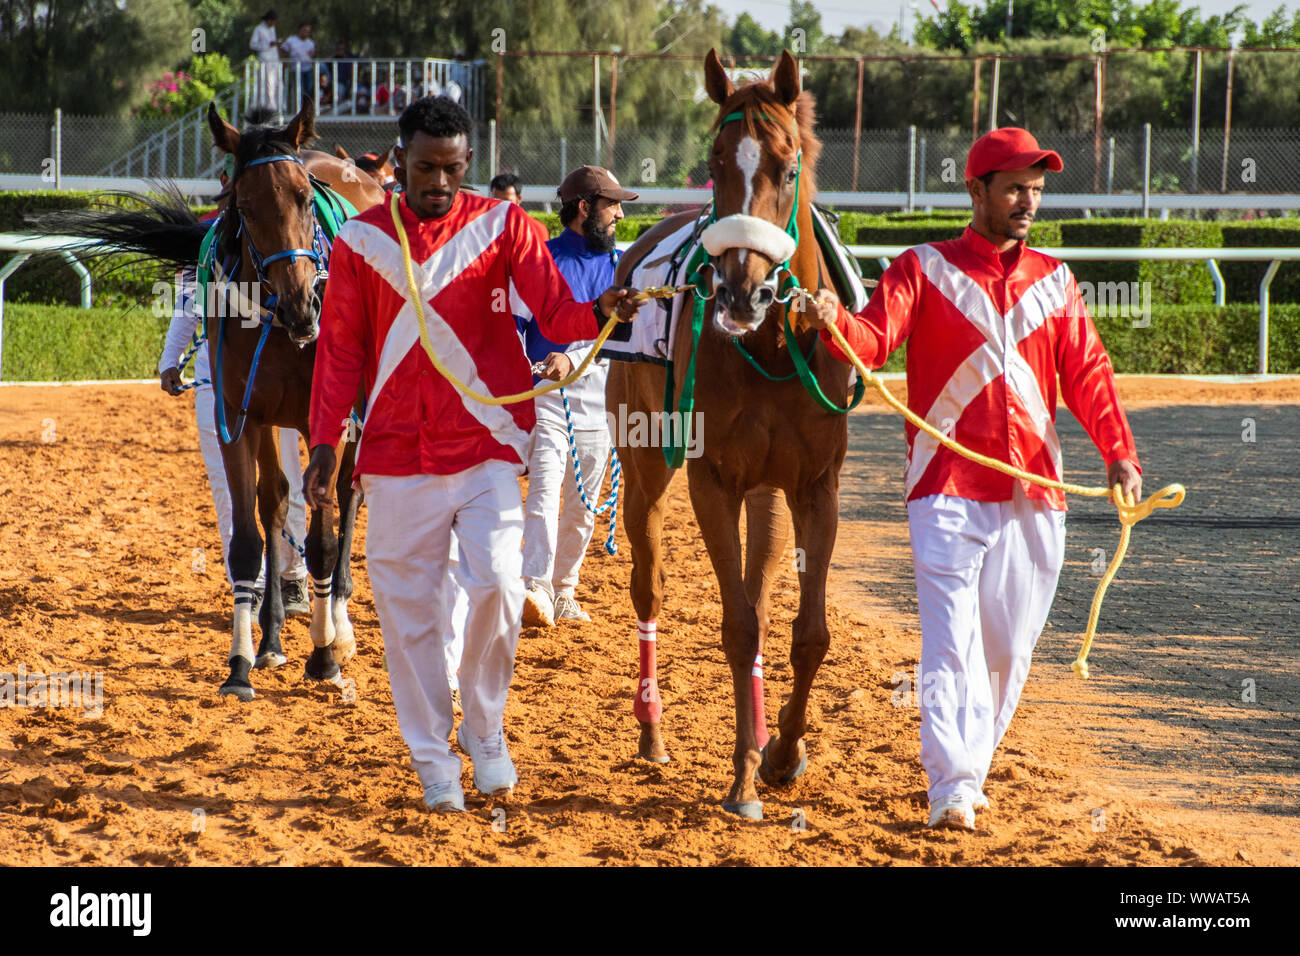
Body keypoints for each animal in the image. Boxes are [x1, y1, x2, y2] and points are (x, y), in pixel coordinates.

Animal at [40, 98, 386, 700]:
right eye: (242, 206)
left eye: (304, 196)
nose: (301, 304)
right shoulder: (239, 416)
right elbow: (248, 537)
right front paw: (241, 664)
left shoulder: (329, 418)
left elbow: (321, 536)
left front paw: (324, 656)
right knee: (276, 502)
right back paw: (272, 638)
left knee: (347, 497)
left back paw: (339, 622)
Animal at [608, 50, 855, 819]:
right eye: (714, 163)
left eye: (787, 164)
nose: (741, 290)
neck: (772, 344)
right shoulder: (711, 478)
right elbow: (739, 627)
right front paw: (745, 776)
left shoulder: (814, 485)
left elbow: (806, 633)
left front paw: (781, 753)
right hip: (645, 464)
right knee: (650, 585)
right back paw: (652, 733)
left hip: (768, 491)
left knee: (761, 591)